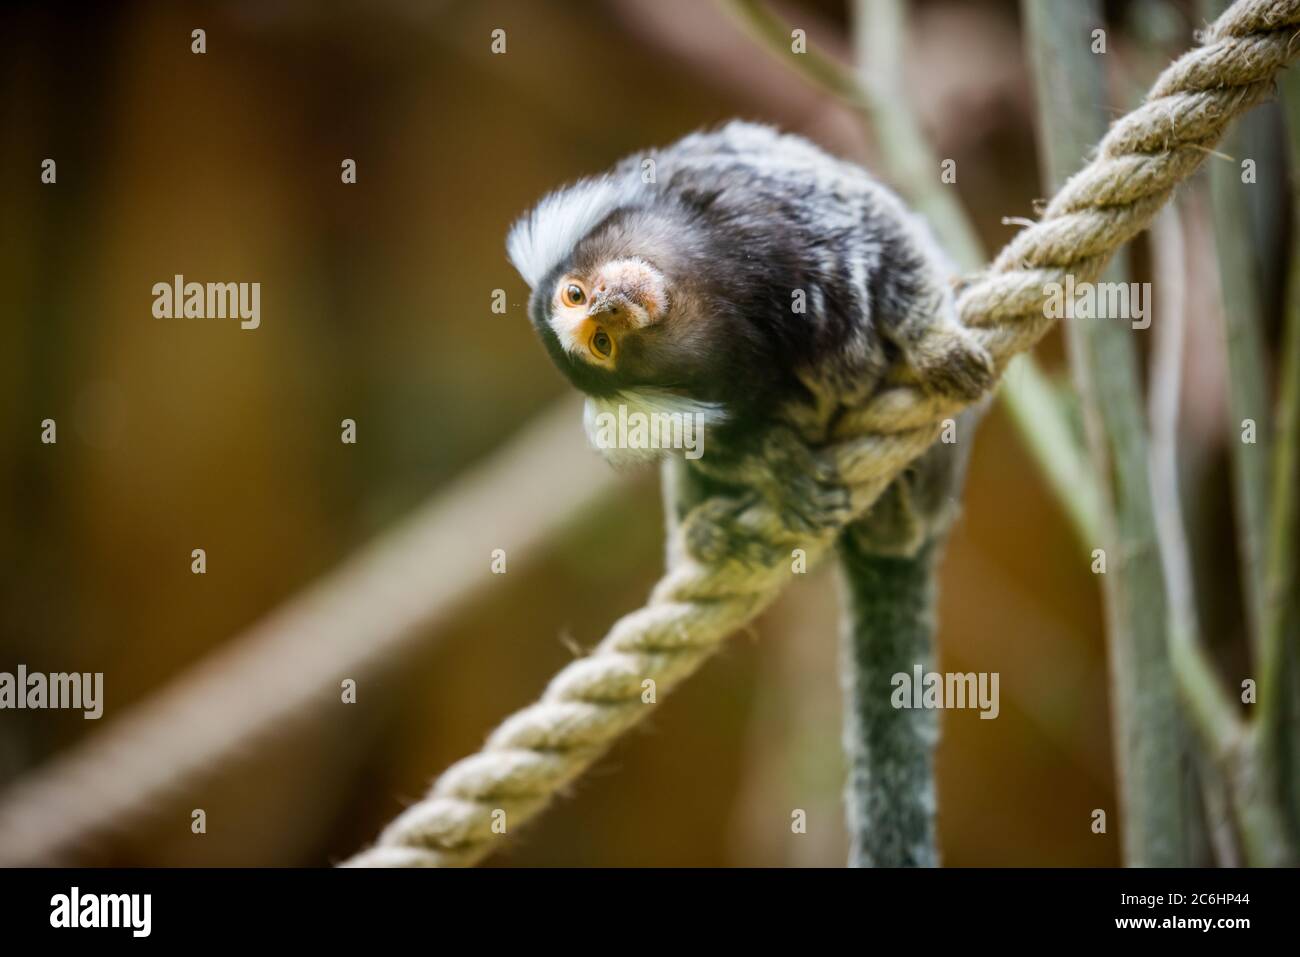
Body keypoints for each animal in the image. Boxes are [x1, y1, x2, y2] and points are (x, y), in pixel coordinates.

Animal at [507, 121, 992, 556]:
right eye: (602, 344)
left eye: (575, 295)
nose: (606, 305)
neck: (713, 295)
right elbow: (719, 450)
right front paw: (781, 467)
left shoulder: (751, 200)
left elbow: (881, 241)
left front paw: (936, 346)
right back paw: (712, 532)